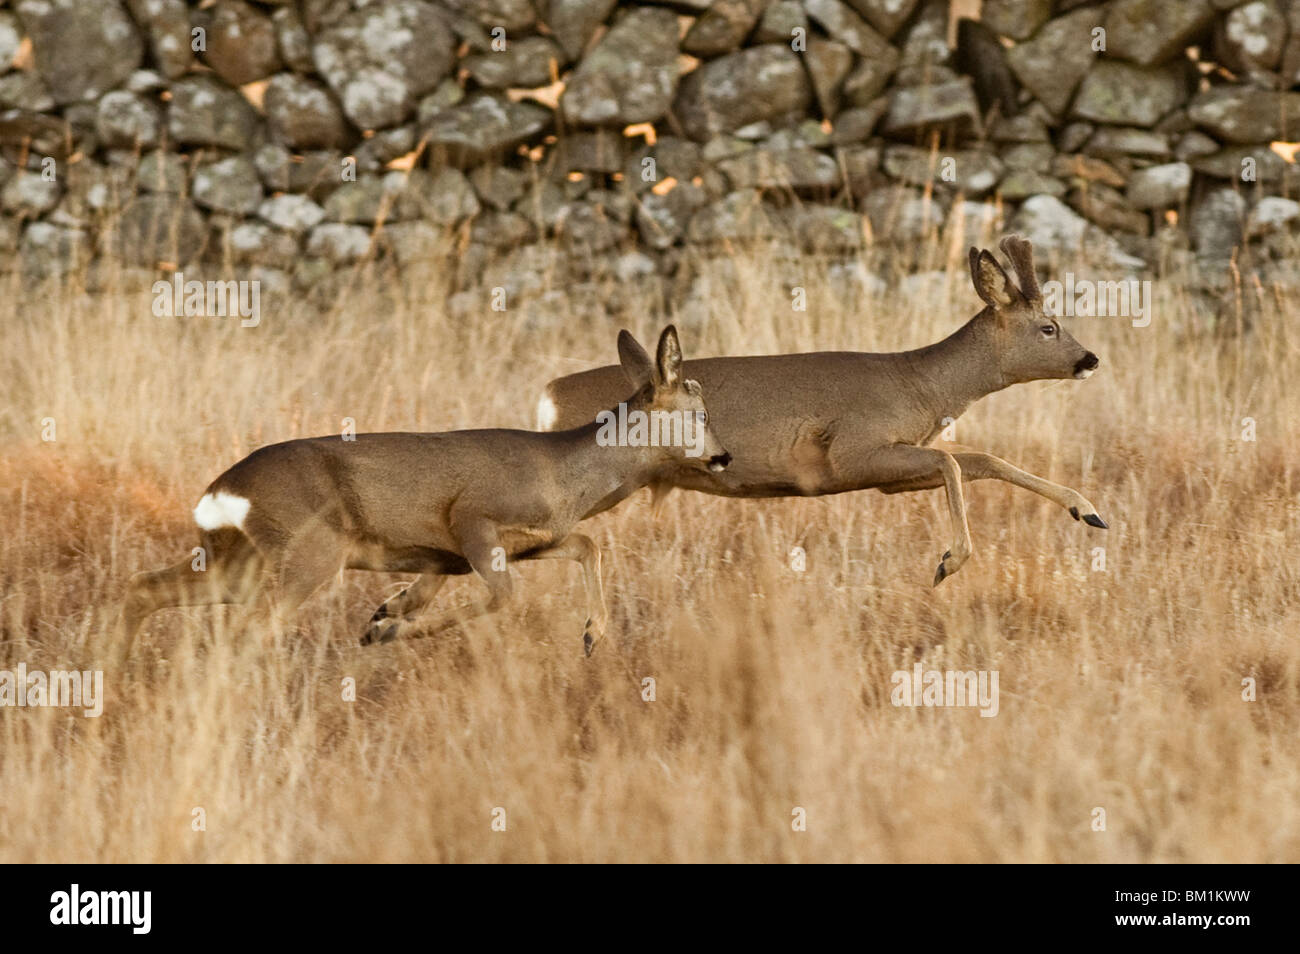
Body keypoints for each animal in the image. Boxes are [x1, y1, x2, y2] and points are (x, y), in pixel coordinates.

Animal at [122, 325, 731, 656]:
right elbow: (504, 595)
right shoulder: (472, 516)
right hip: (305, 552)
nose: (724, 456)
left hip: (236, 560)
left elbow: (588, 545)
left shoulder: (515, 543)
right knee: (244, 631)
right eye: (699, 412)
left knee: (142, 589)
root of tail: (220, 491)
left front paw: (591, 635)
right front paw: (389, 629)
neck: (565, 477)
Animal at [538, 237, 1107, 586]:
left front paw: (1088, 510)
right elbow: (953, 462)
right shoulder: (854, 450)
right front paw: (949, 562)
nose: (1090, 359)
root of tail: (547, 395)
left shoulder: (890, 467)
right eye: (1049, 327)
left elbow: (983, 461)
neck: (922, 386)